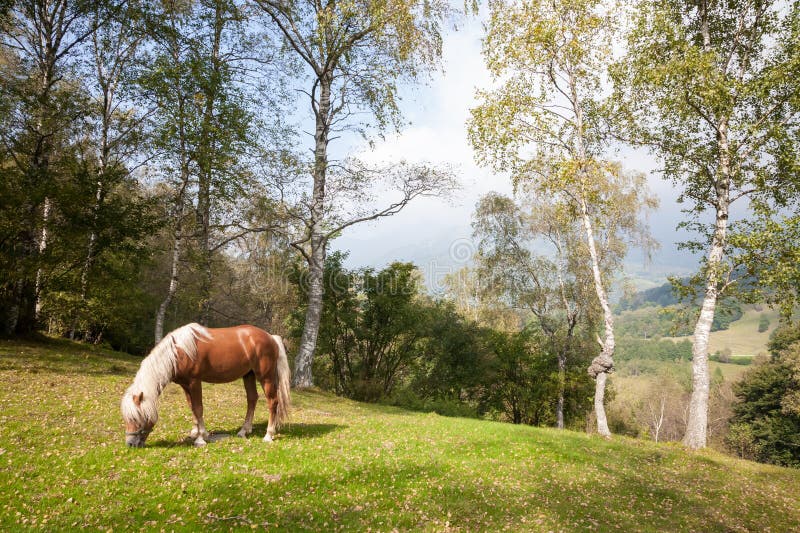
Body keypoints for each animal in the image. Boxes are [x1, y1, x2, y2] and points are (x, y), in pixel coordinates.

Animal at [120, 323, 290, 447]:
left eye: (137, 417)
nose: (130, 443)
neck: (179, 352)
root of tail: (271, 337)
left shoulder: (194, 382)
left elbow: (198, 408)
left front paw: (200, 439)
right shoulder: (185, 385)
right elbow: (192, 407)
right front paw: (197, 432)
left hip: (266, 377)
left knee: (272, 401)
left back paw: (268, 435)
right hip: (248, 375)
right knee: (252, 399)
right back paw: (244, 431)